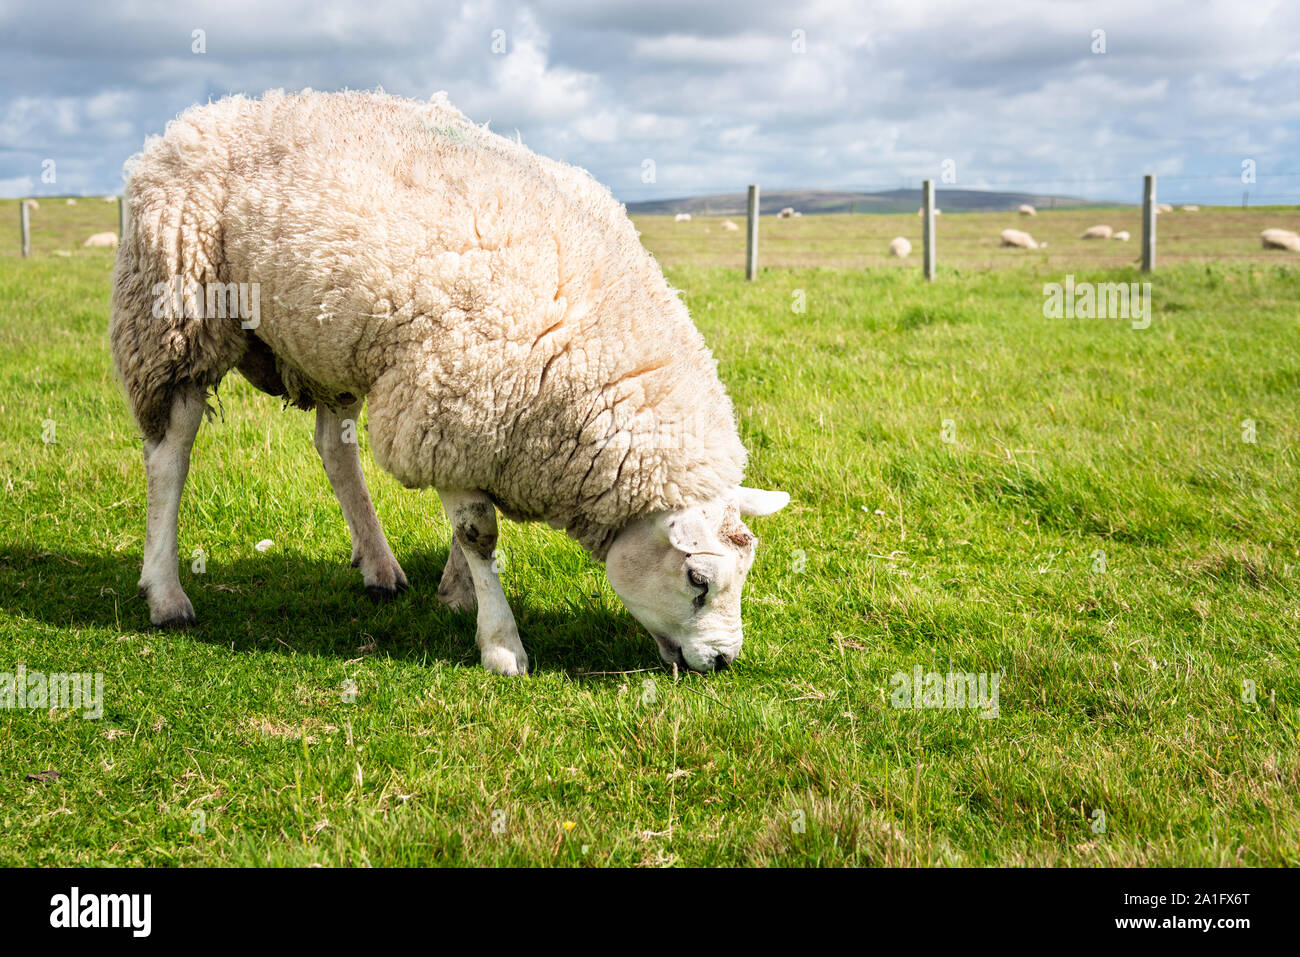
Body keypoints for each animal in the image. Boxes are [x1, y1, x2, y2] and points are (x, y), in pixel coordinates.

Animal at [109, 89, 788, 677]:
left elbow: (469, 528)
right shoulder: (449, 405)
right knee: (170, 453)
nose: (724, 662)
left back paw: (379, 567)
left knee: (334, 448)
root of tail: (201, 117)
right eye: (698, 580)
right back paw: (166, 595)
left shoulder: (481, 420)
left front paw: (456, 593)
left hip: (333, 342)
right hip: (176, 312)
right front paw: (501, 643)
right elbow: (478, 533)